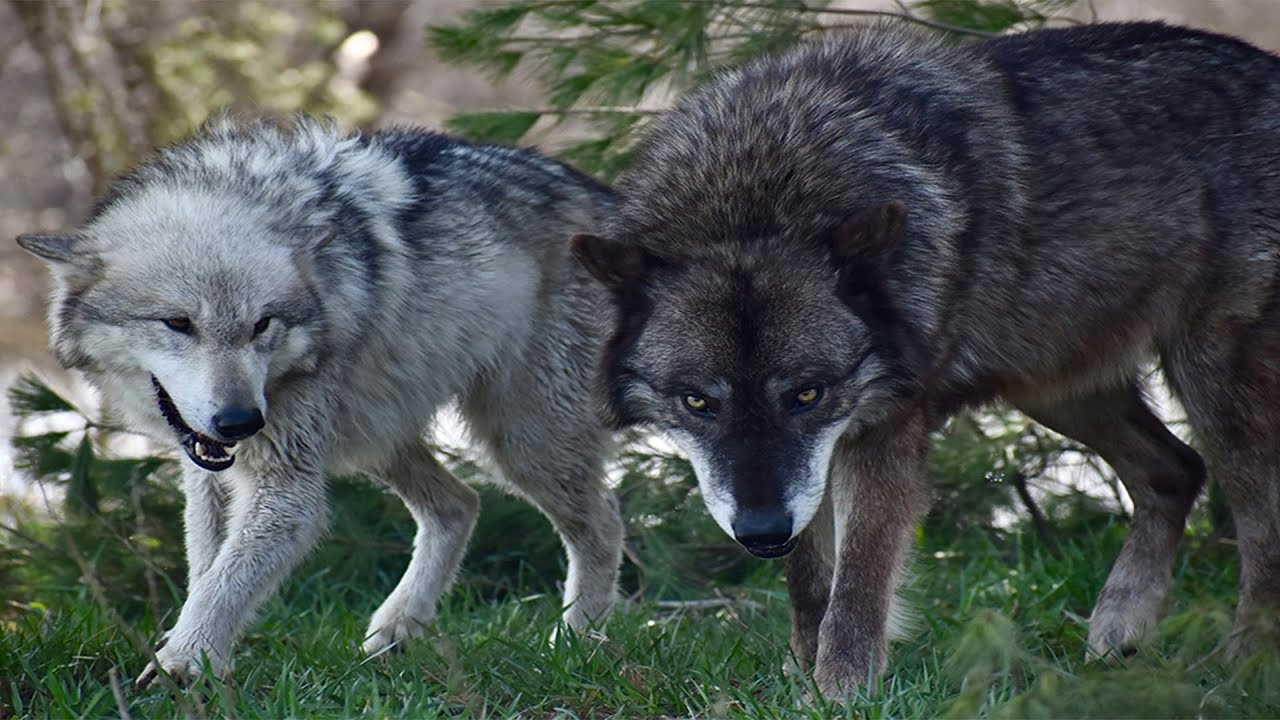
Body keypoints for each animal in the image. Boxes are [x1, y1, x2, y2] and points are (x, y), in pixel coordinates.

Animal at [17, 115, 625, 685]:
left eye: (262, 325)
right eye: (178, 323)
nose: (241, 421)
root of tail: (606, 199)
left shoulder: (288, 483)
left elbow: (225, 583)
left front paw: (182, 666)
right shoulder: (209, 468)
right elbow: (207, 567)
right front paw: (197, 652)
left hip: (519, 443)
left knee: (603, 526)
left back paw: (572, 642)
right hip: (376, 436)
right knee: (460, 504)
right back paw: (398, 629)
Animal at [571, 21, 1280, 698]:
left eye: (807, 394)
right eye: (697, 401)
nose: (762, 532)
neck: (757, 189)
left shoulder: (883, 427)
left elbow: (858, 585)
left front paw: (840, 694)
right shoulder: (812, 471)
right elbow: (810, 585)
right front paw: (805, 676)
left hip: (1209, 377)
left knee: (1259, 522)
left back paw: (1244, 663)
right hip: (1056, 391)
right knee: (1175, 470)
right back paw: (1119, 629)